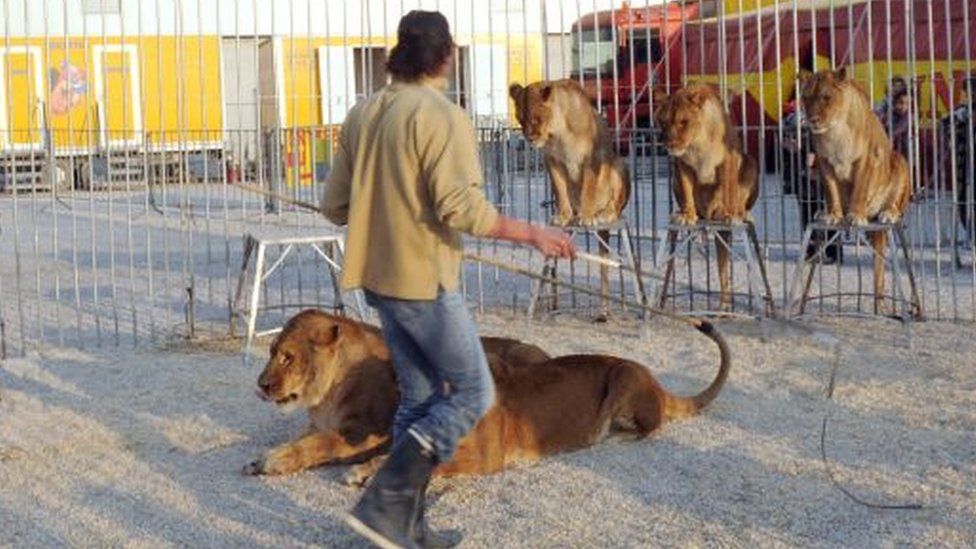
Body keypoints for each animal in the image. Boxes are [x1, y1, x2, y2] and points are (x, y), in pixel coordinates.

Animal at [244, 309, 731, 486]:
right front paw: (267, 456)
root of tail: (660, 385)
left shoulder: (366, 431)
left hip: (624, 378)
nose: (262, 385)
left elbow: (322, 446)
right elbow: (305, 441)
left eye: (287, 356)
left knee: (647, 426)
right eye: (270, 352)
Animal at [653, 84, 760, 309]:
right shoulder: (680, 164)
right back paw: (683, 214)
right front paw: (687, 215)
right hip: (673, 179)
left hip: (751, 162)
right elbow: (688, 192)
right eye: (663, 122)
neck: (697, 142)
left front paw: (729, 214)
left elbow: (728, 189)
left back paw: (739, 213)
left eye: (683, 121)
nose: (669, 144)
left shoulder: (729, 158)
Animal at [800, 68, 912, 310]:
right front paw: (833, 215)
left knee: (897, 207)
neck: (835, 131)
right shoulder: (824, 162)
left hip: (899, 159)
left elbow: (860, 190)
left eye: (826, 97)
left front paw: (856, 216)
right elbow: (831, 191)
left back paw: (887, 213)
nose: (812, 120)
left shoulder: (867, 159)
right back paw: (824, 212)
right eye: (806, 97)